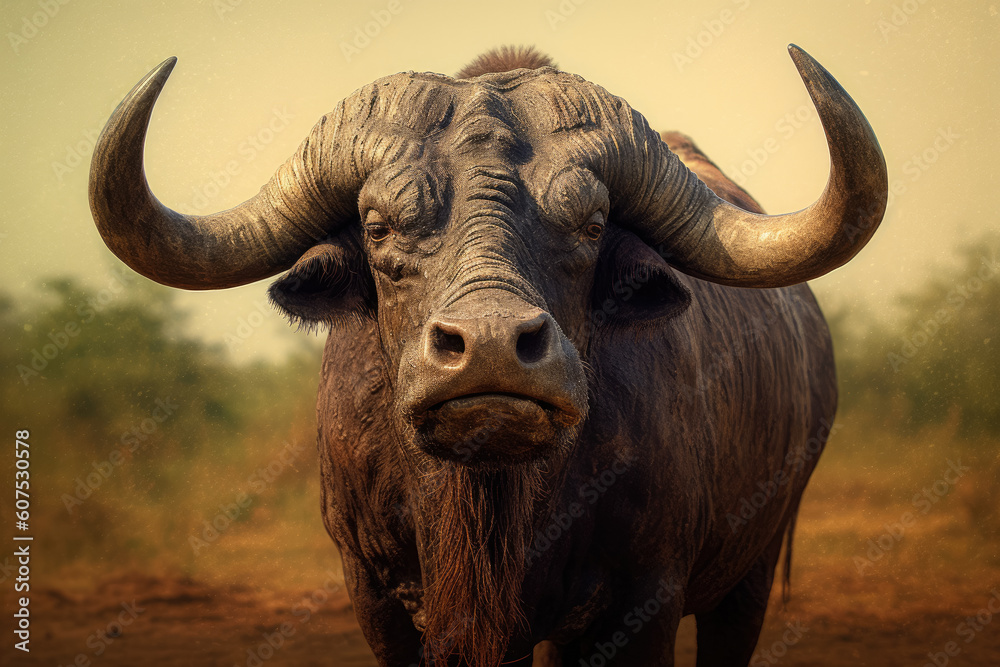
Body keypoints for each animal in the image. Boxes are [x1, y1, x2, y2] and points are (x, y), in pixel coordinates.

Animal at [89, 44, 887, 666]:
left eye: (592, 224)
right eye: (377, 227)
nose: (492, 348)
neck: (489, 507)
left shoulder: (642, 604)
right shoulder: (378, 599)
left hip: (751, 571)